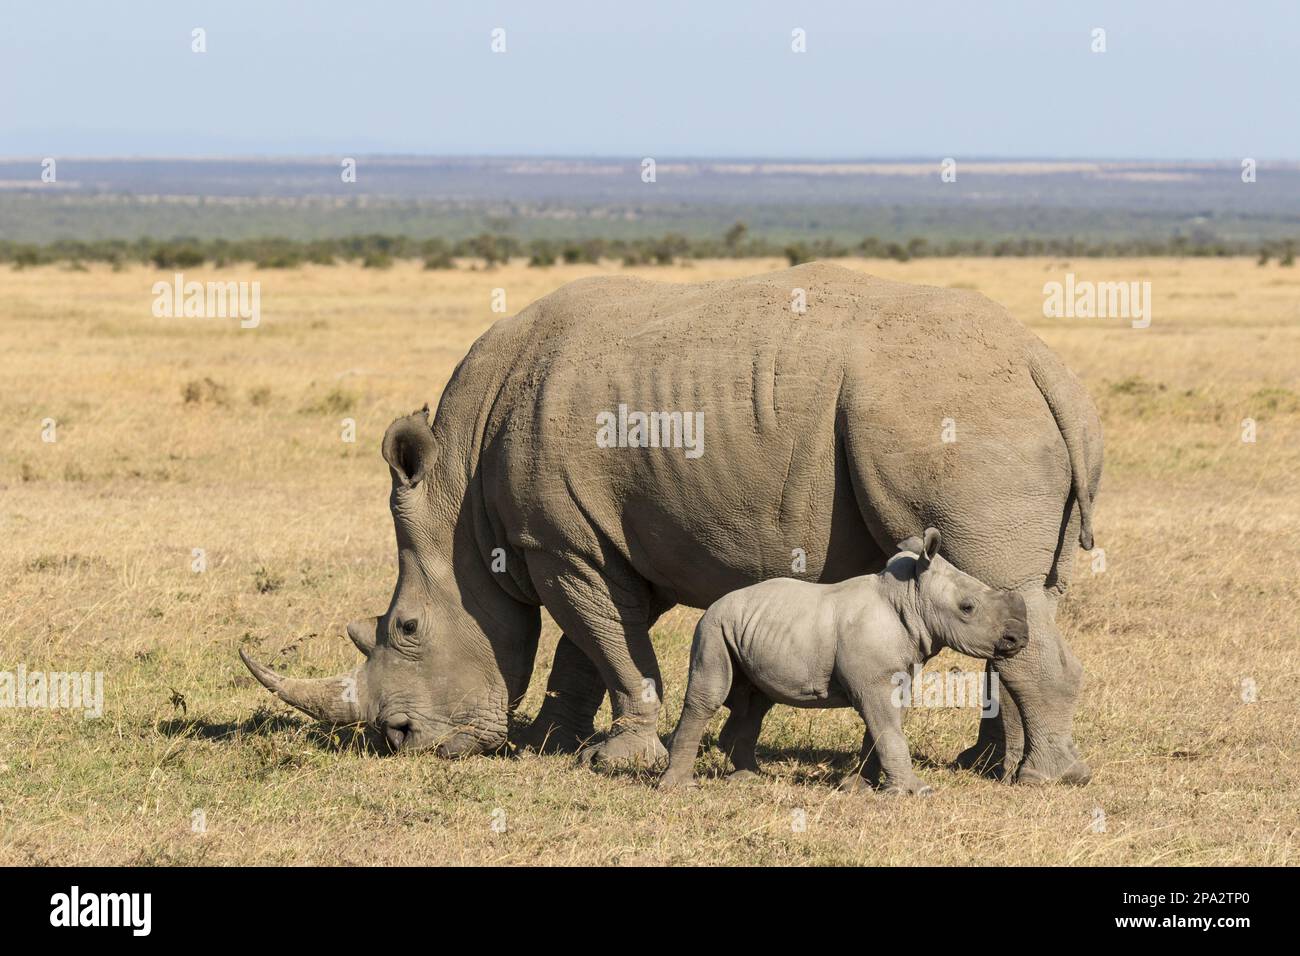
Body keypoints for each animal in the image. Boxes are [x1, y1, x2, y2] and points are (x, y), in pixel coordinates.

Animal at [241, 262, 1101, 785]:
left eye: (407, 629)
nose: (400, 741)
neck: (461, 498)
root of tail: (1044, 364)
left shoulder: (564, 544)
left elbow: (607, 643)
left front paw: (614, 757)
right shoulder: (598, 540)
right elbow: (588, 649)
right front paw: (556, 744)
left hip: (948, 412)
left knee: (994, 578)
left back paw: (1040, 779)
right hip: (981, 408)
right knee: (1012, 597)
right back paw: (986, 766)